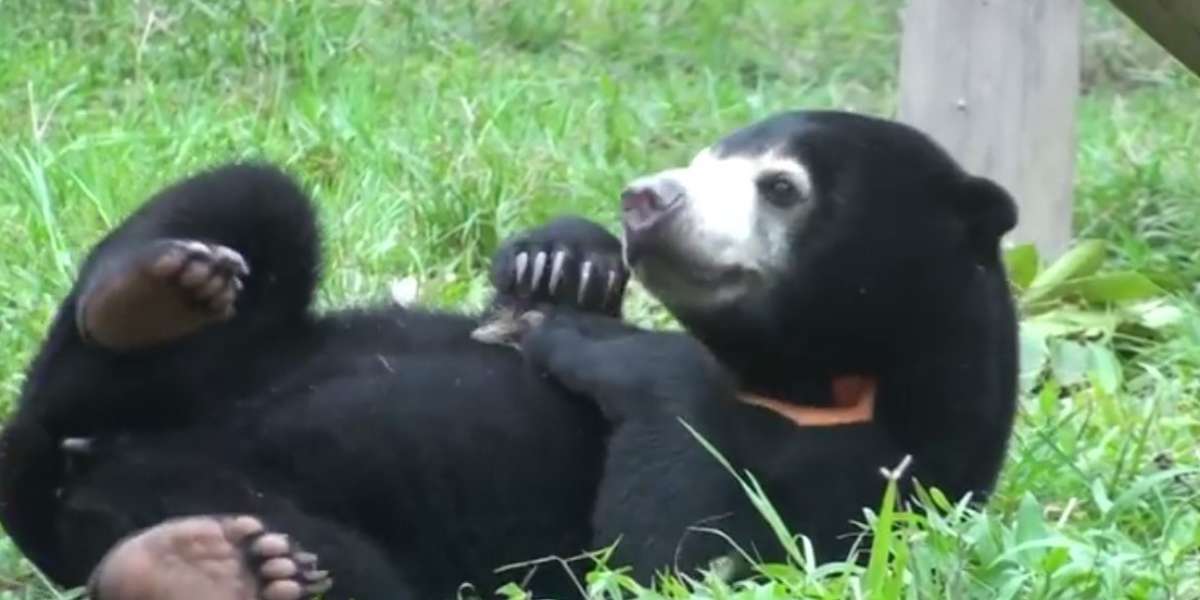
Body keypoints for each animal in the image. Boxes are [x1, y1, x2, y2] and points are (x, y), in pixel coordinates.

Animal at [0, 109, 1018, 600]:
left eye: (781, 188)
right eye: (702, 161)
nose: (645, 198)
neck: (815, 378)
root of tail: (72, 476)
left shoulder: (866, 495)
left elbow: (678, 555)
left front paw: (591, 339)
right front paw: (562, 263)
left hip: (272, 515)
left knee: (349, 577)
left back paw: (203, 568)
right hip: (134, 380)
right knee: (254, 199)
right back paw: (153, 293)